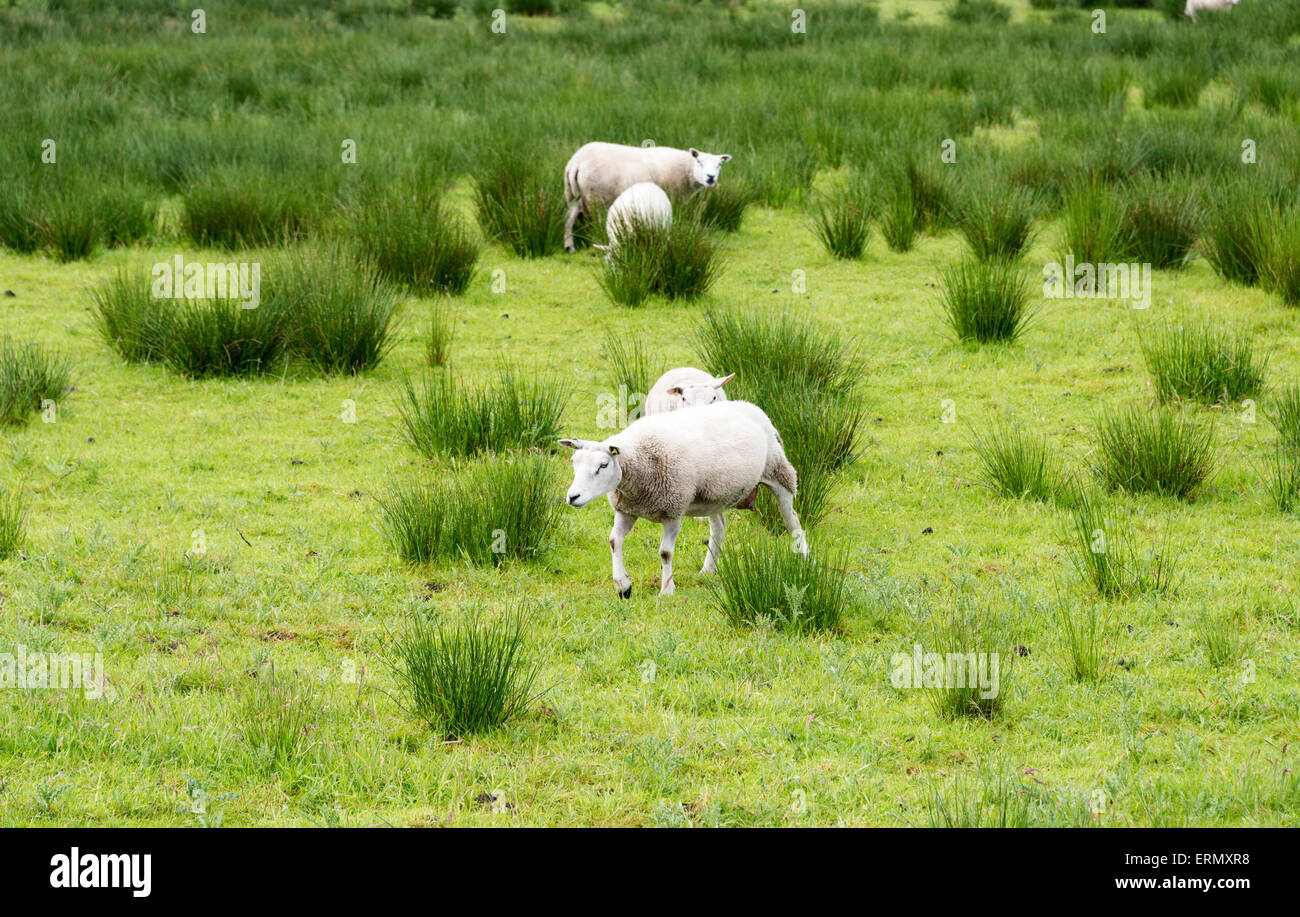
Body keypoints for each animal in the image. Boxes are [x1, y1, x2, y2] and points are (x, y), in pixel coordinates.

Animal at [560, 400, 807, 598]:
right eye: (574, 461)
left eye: (603, 465)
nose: (573, 497)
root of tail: (752, 406)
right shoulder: (626, 510)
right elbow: (614, 541)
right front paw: (623, 586)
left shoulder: (673, 509)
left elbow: (665, 553)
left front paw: (667, 590)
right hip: (714, 493)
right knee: (719, 528)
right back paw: (708, 570)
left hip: (777, 470)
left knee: (793, 520)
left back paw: (804, 557)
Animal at [563, 142, 732, 253]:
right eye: (699, 162)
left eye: (719, 165)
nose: (711, 177)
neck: (687, 171)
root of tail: (576, 161)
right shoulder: (673, 198)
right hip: (596, 196)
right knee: (596, 222)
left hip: (574, 195)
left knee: (569, 218)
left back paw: (569, 246)